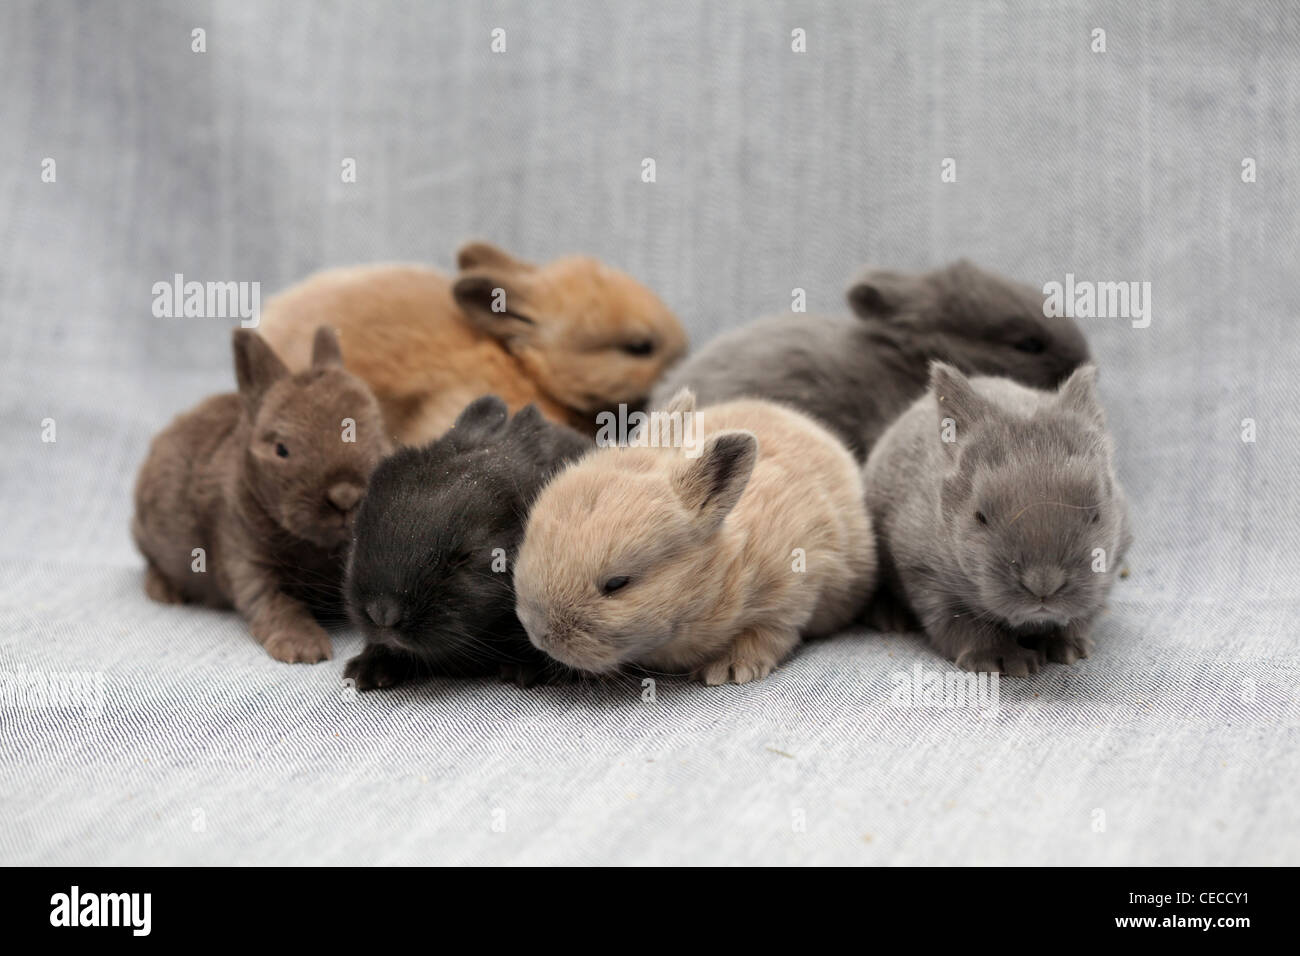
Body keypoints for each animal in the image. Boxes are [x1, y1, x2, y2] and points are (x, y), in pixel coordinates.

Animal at [131, 326, 392, 663]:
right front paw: (303, 648)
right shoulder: (248, 563)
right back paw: (165, 591)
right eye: (281, 449)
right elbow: (277, 604)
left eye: (380, 435)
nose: (345, 496)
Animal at [513, 389, 877, 685]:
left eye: (617, 584)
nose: (540, 636)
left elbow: (767, 633)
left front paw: (729, 670)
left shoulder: (792, 595)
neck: (716, 574)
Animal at [861, 361, 1132, 675]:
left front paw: (1069, 649)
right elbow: (964, 626)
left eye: (1096, 515)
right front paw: (1002, 660)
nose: (1043, 585)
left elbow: (1082, 615)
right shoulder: (927, 578)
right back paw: (890, 618)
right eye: (980, 516)